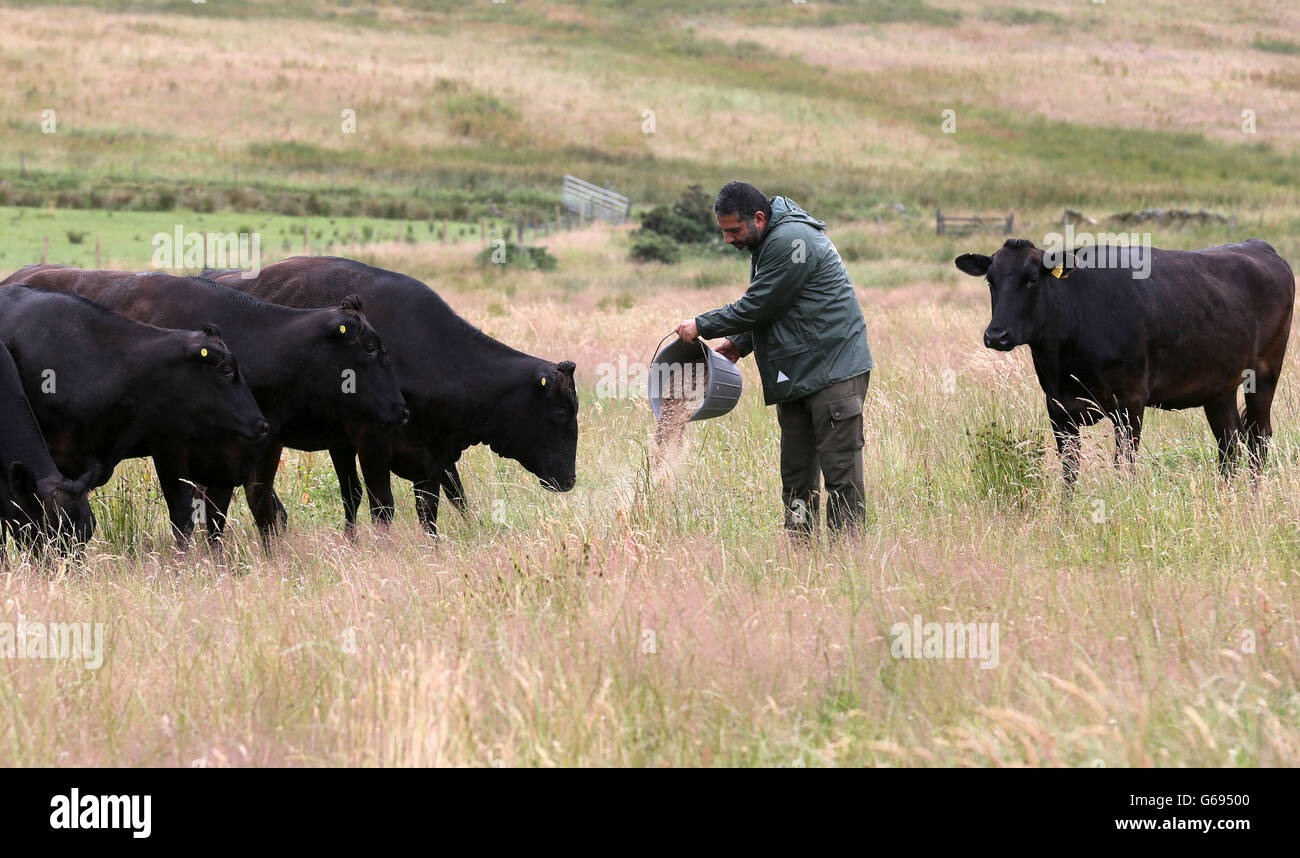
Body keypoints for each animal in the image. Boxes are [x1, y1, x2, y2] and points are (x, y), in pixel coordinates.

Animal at [206, 256, 578, 535]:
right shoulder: (368, 439)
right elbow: (376, 502)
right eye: (561, 414)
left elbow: (441, 502)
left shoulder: (434, 452)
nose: (569, 479)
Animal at [955, 238, 1294, 485]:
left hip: (1265, 374)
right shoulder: (1058, 407)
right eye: (990, 280)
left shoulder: (1130, 400)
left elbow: (1125, 466)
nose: (996, 335)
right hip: (1219, 387)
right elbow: (1069, 471)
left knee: (1259, 437)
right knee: (1229, 443)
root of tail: (1259, 246)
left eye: (1032, 279)